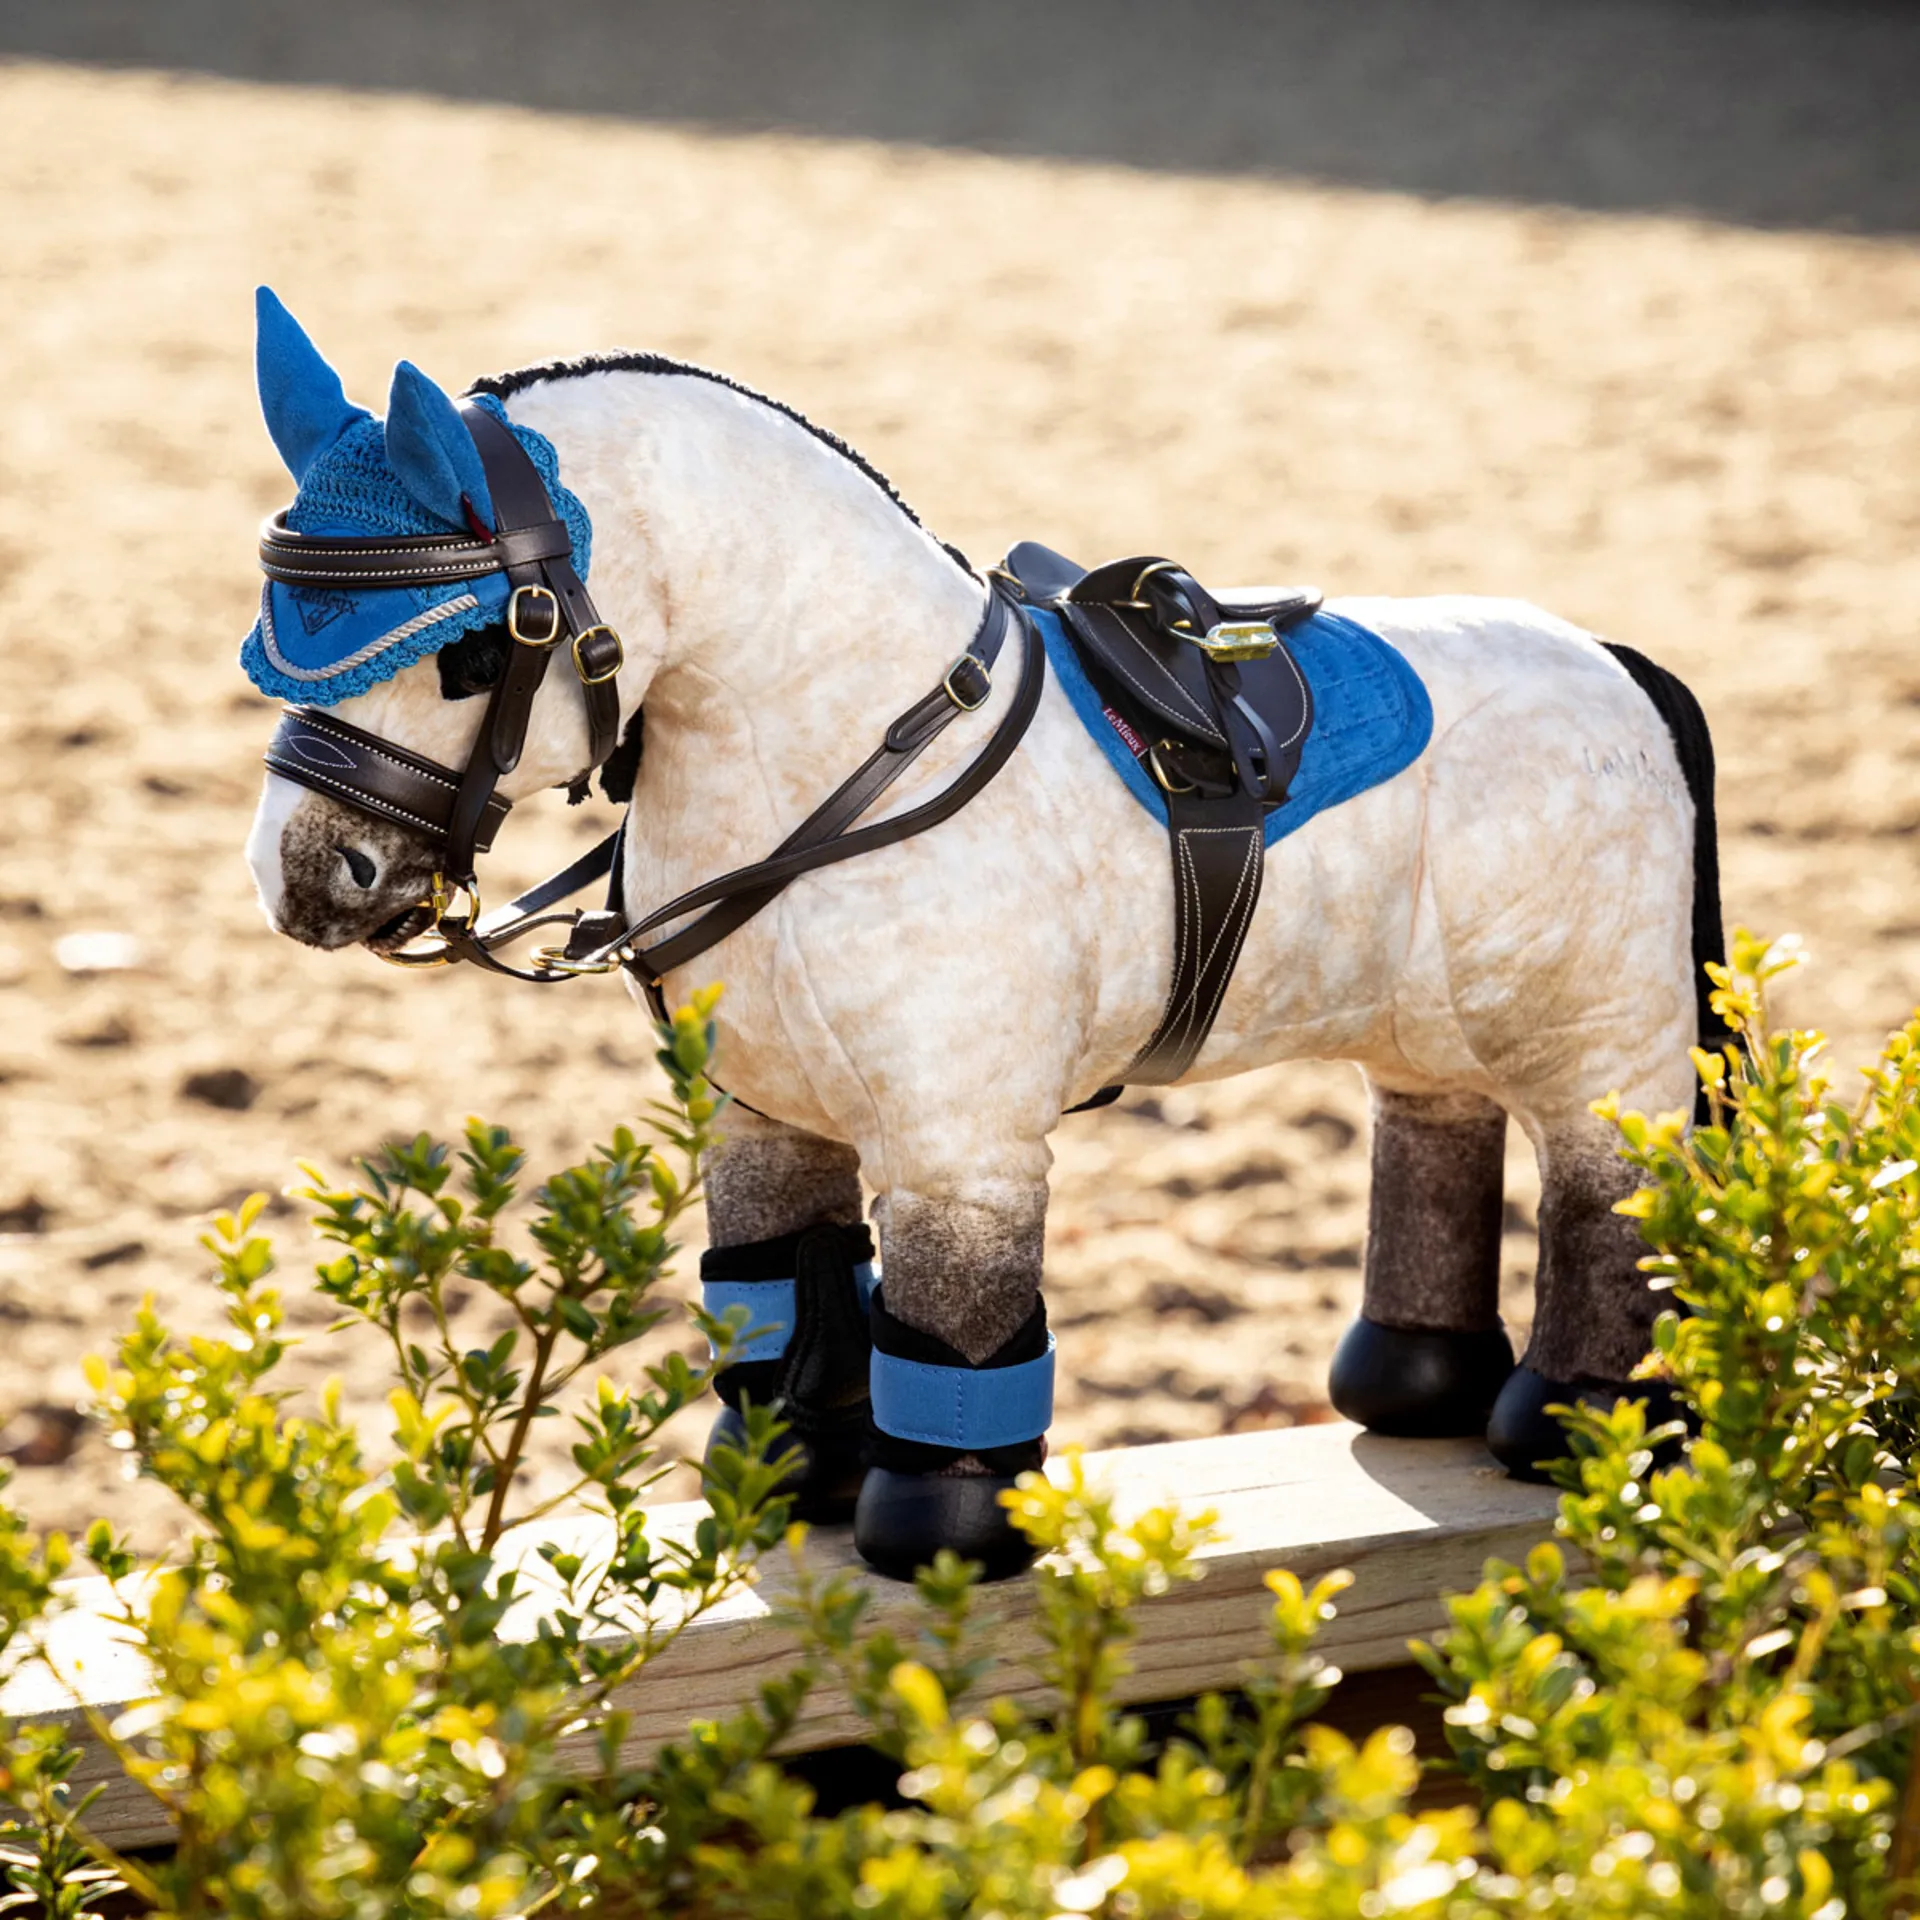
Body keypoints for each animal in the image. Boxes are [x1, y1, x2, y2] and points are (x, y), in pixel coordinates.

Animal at [240, 289, 1720, 1580]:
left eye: (475, 651)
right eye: (273, 639)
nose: (305, 879)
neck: (845, 754)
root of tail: (1613, 659)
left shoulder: (963, 1151)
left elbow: (954, 1334)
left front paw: (940, 1539)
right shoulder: (764, 1119)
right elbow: (787, 1294)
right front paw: (789, 1482)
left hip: (1604, 1044)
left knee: (1607, 1191)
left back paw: (1582, 1421)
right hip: (1431, 1023)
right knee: (1435, 1128)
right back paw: (1414, 1385)